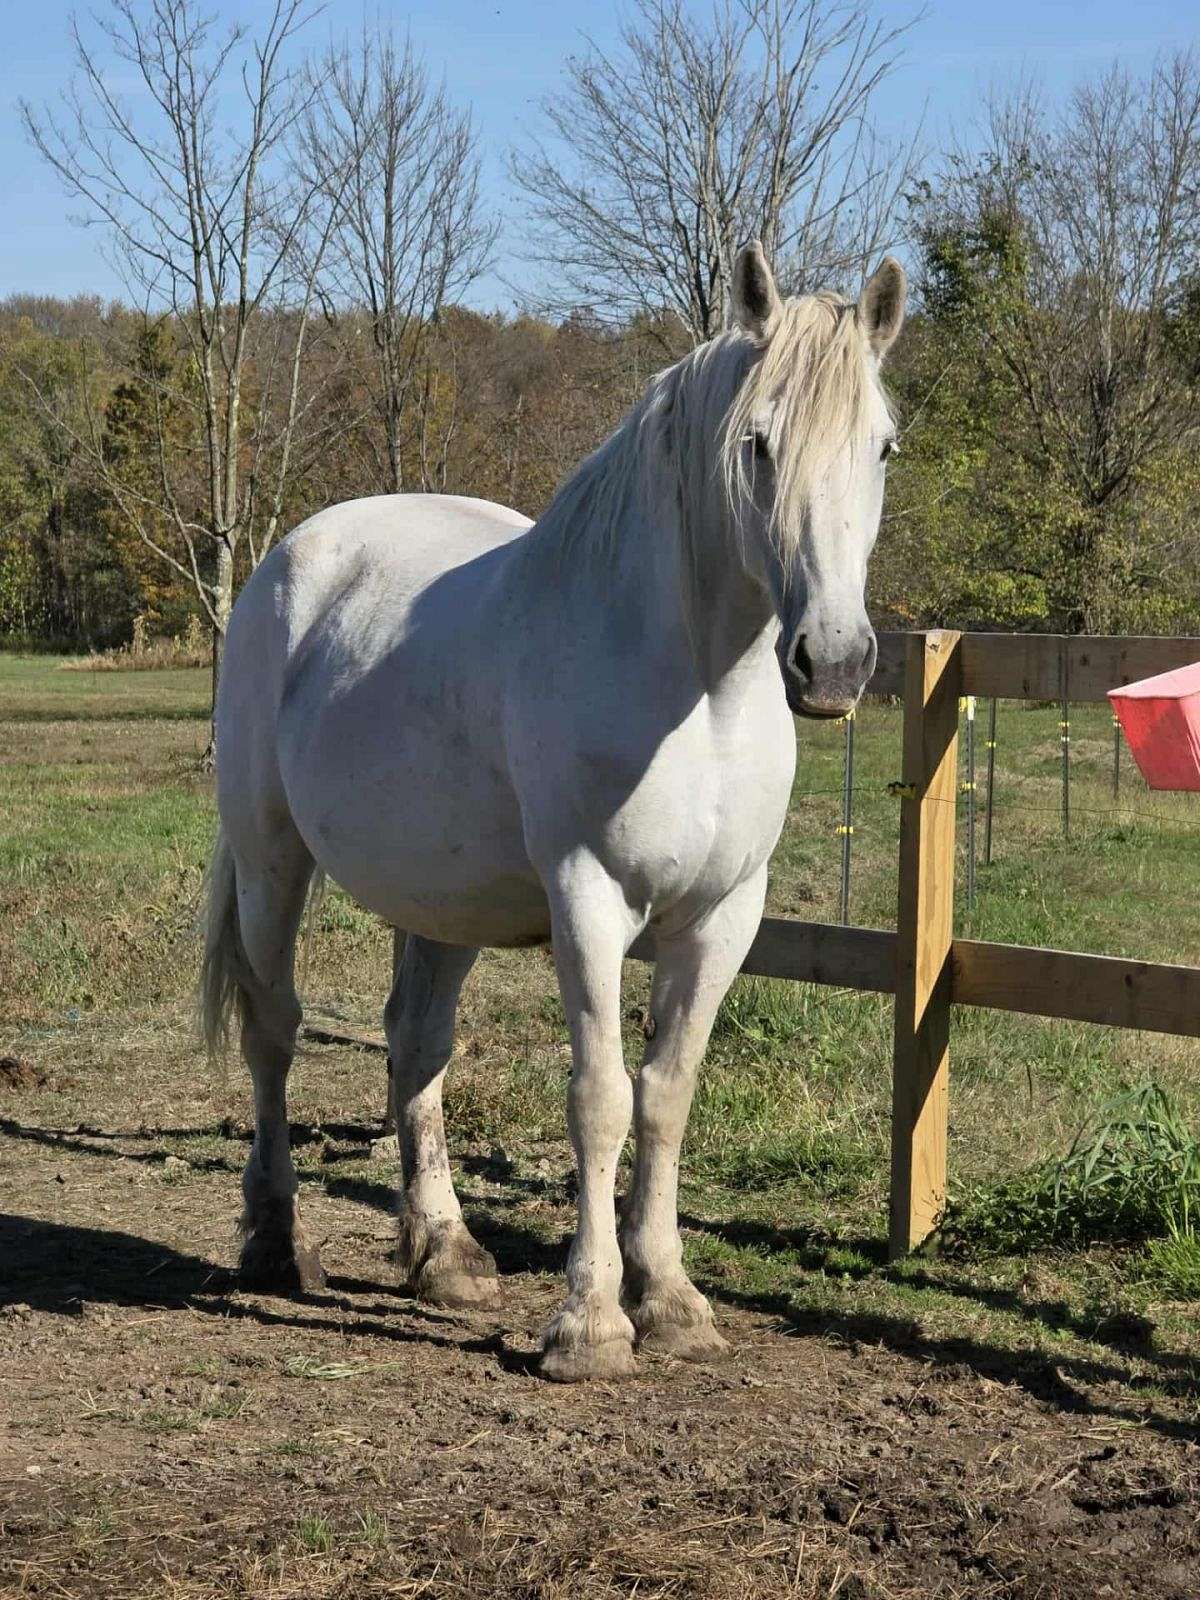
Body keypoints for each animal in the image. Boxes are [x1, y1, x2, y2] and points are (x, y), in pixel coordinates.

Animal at [200, 242, 905, 1383]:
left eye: (883, 446)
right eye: (755, 443)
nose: (833, 663)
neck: (695, 689)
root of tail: (291, 560)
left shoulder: (723, 917)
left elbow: (667, 1093)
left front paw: (671, 1299)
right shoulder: (589, 901)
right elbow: (601, 1097)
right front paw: (590, 1323)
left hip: (439, 903)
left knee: (416, 1043)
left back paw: (443, 1253)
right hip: (272, 864)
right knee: (274, 1029)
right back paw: (273, 1242)